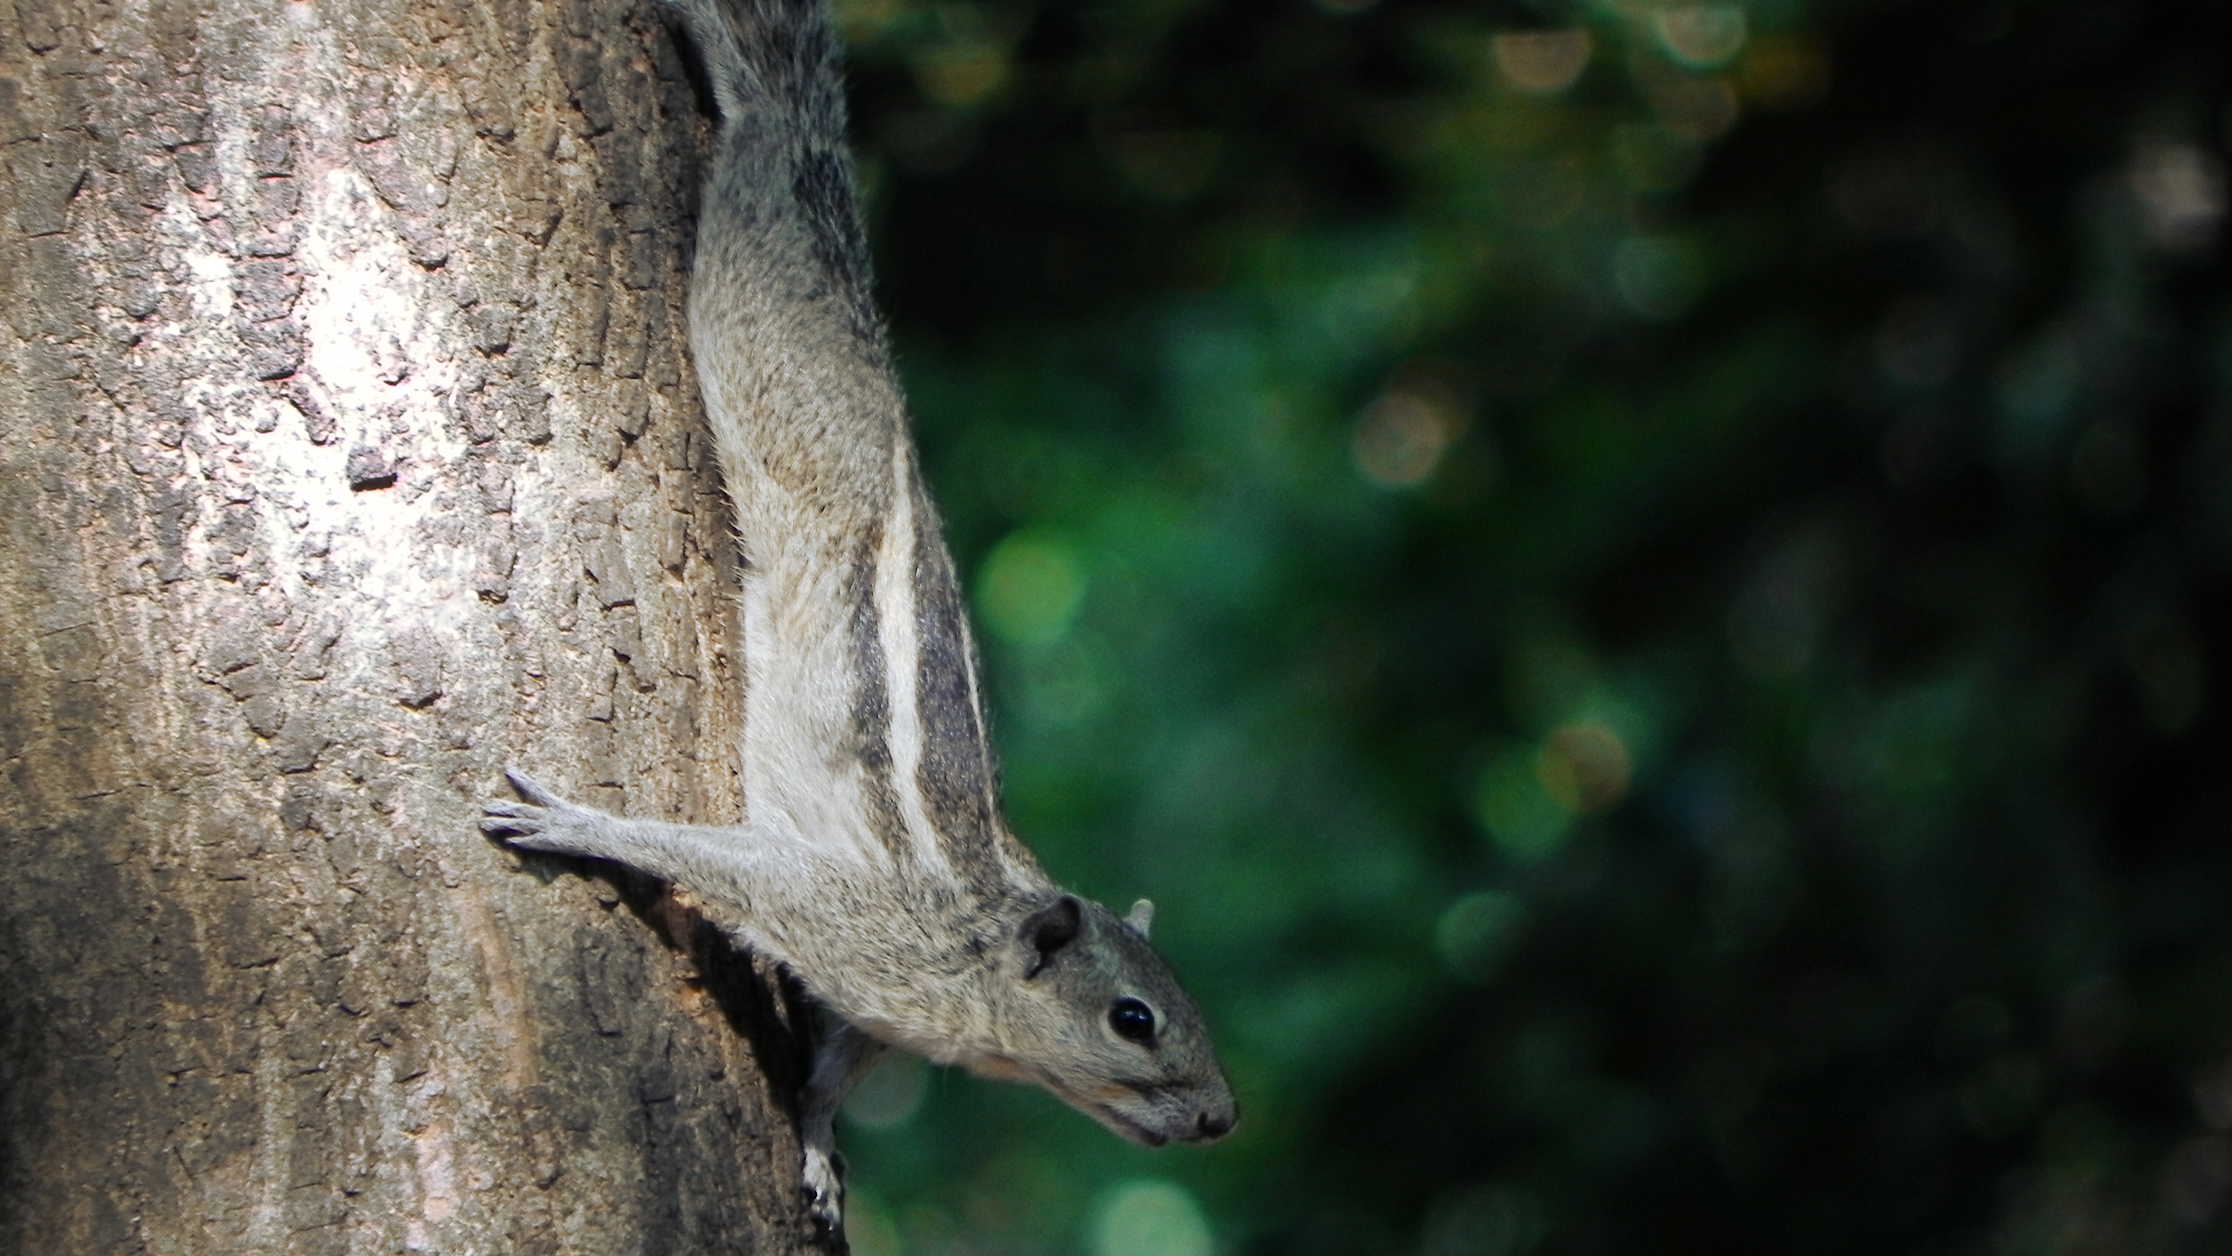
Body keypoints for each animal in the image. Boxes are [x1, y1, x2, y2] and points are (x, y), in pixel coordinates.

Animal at [479, 0, 1237, 1229]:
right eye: (1134, 1018)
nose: (1223, 1117)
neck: (976, 975)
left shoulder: (878, 1006)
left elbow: (832, 1067)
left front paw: (821, 1143)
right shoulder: (845, 914)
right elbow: (720, 865)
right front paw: (586, 825)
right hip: (765, 355)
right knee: (761, 160)